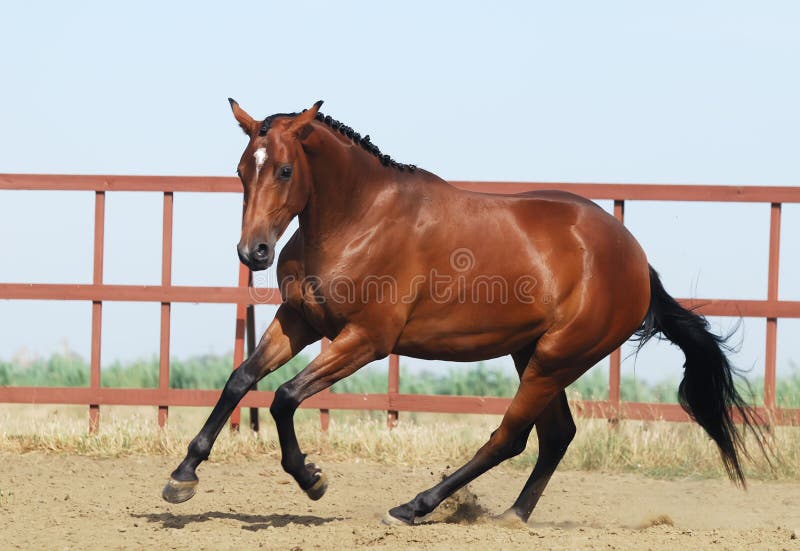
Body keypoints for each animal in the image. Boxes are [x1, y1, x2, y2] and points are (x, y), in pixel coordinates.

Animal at [162, 100, 765, 525]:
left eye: (286, 170)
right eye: (242, 169)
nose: (254, 253)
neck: (358, 219)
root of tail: (637, 262)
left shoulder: (366, 339)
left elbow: (285, 397)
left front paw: (311, 478)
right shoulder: (301, 321)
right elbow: (241, 379)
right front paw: (182, 477)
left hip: (556, 358)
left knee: (512, 436)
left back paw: (415, 507)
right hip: (533, 355)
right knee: (556, 435)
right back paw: (513, 516)